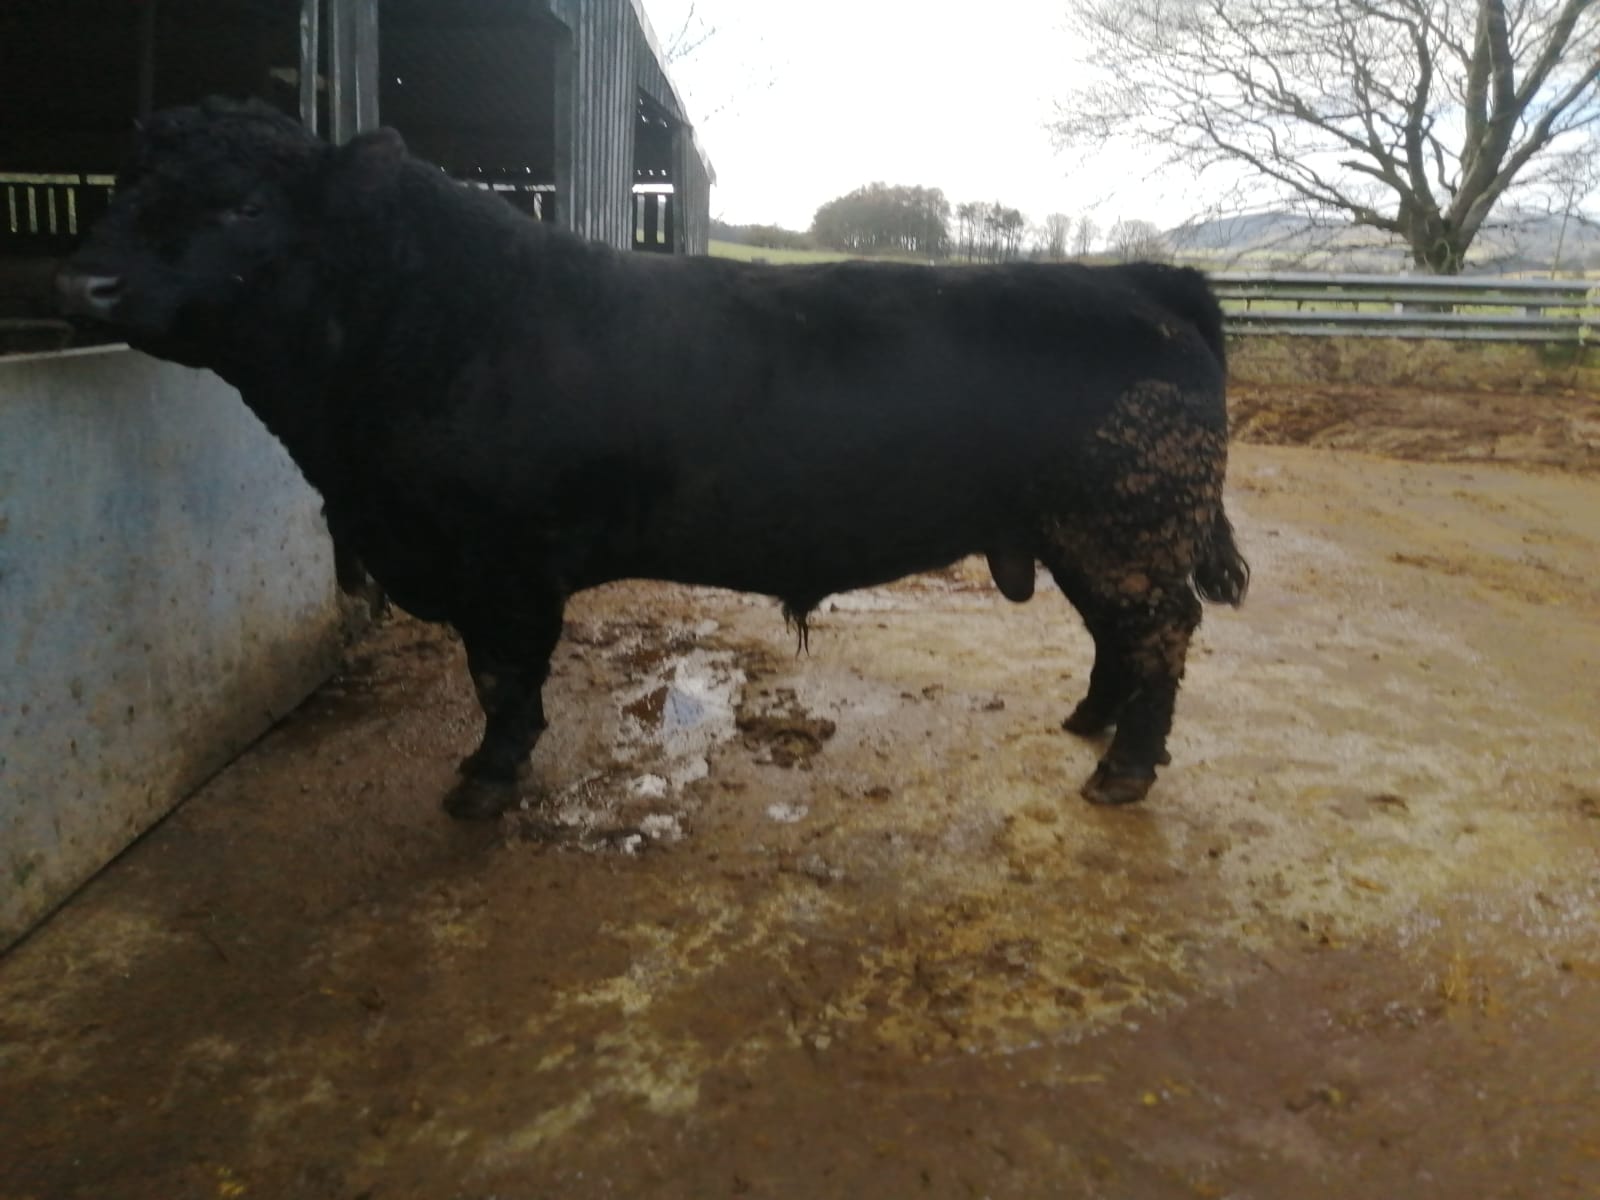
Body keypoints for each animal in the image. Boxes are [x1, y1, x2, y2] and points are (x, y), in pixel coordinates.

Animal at [57, 99, 1248, 820]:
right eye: (115, 190)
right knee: (1120, 635)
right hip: (1085, 532)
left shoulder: (501, 563)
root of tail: (1138, 281)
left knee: (1162, 634)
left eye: (244, 203)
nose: (83, 284)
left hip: (1128, 523)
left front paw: (483, 782)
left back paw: (1124, 770)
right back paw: (1089, 725)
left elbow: (503, 681)